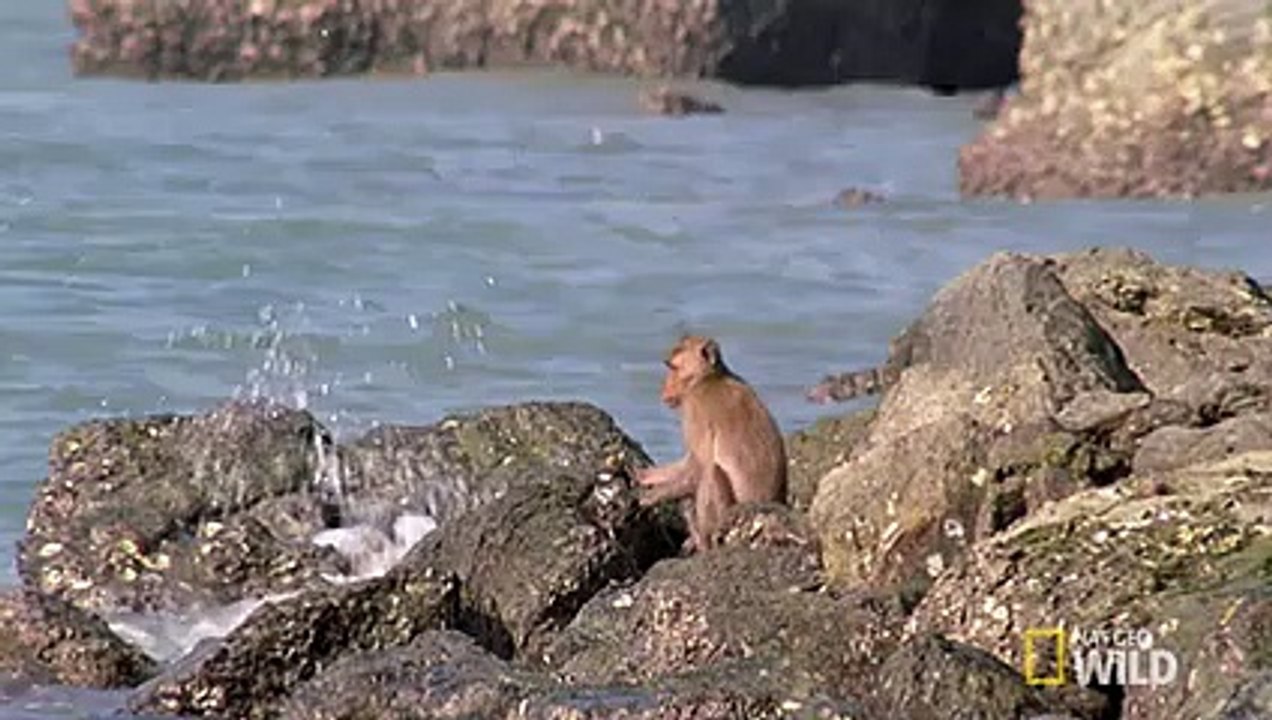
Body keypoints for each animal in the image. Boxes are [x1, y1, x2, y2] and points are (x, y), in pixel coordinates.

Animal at [636, 335, 788, 552]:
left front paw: (655, 495)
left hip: (727, 518)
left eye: (673, 368)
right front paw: (646, 475)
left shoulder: (694, 410)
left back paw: (702, 540)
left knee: (712, 472)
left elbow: (697, 465)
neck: (708, 378)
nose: (665, 389)